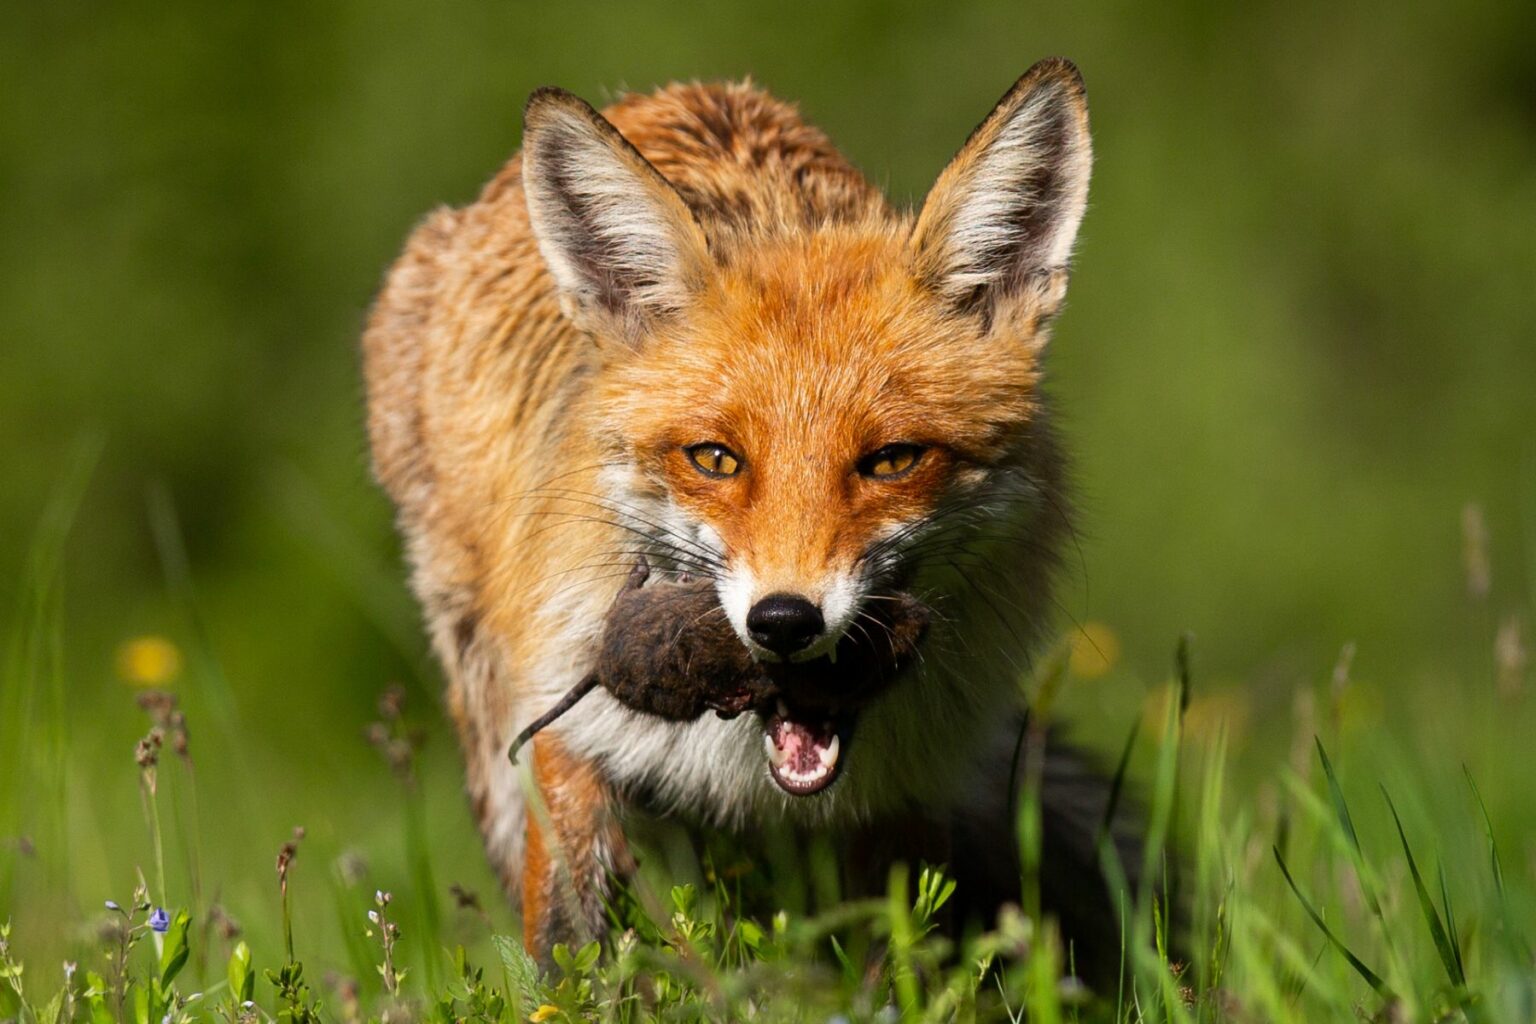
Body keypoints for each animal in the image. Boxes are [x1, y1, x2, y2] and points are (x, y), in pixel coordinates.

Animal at [363, 57, 1141, 974]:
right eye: (715, 459)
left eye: (892, 461)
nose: (784, 621)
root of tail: (678, 89)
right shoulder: (564, 717)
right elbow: (572, 946)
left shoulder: (910, 788)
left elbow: (894, 957)